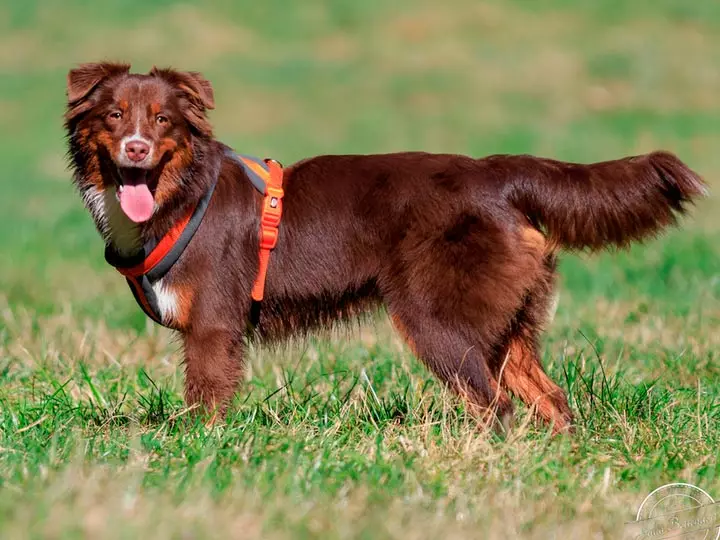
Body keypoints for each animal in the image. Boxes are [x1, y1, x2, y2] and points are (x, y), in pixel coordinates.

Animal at [64, 62, 704, 434]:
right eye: (115, 115)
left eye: (162, 120)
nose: (138, 148)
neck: (180, 193)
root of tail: (496, 174)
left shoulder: (213, 328)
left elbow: (205, 405)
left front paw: (198, 452)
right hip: (507, 326)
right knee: (551, 402)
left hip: (435, 320)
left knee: (495, 407)